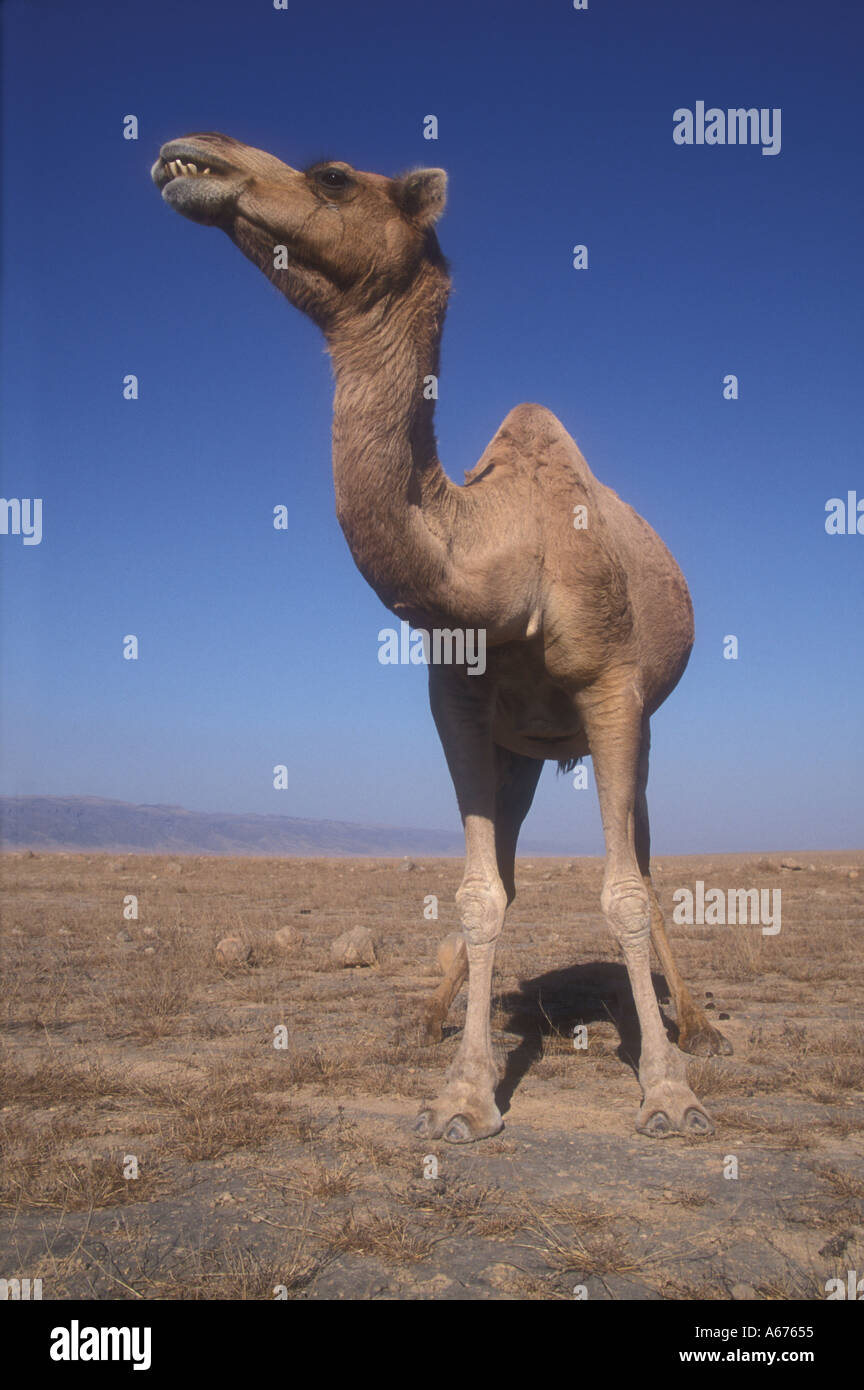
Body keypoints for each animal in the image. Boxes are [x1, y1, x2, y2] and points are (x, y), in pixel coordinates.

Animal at [152, 134, 731, 1144]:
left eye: (333, 176)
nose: (193, 154)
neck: (507, 558)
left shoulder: (613, 691)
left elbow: (623, 889)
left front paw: (667, 1093)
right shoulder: (455, 699)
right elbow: (476, 891)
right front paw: (462, 1096)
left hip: (633, 729)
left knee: (646, 862)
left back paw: (696, 1026)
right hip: (527, 751)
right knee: (507, 862)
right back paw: (429, 1014)